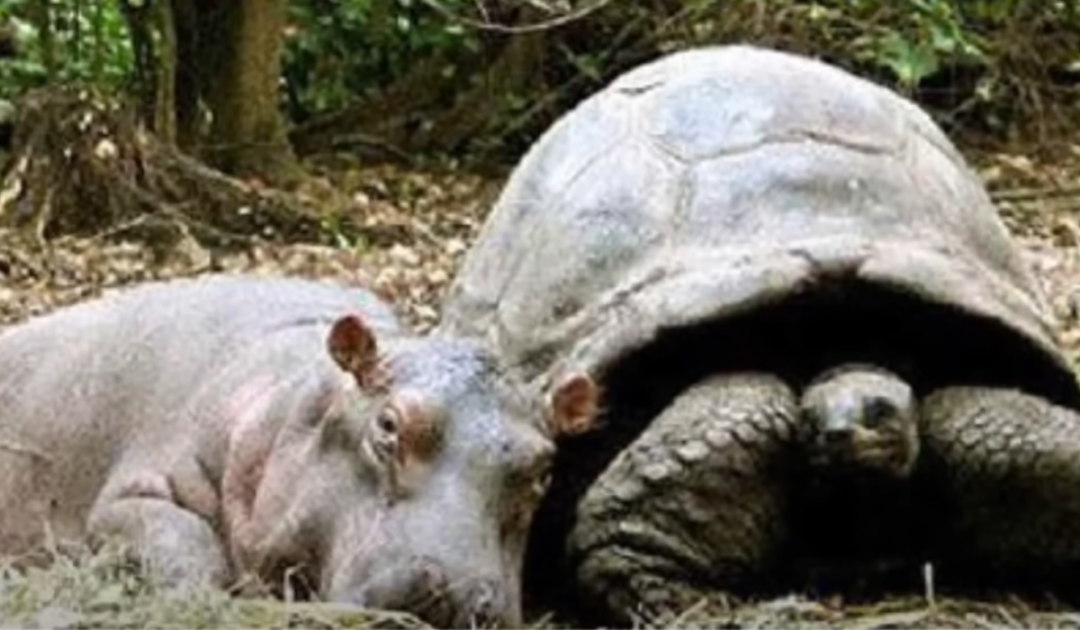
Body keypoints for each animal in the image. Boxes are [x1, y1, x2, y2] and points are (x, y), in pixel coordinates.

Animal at [0, 274, 597, 628]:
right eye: (388, 425)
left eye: (544, 469)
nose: (453, 596)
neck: (289, 400)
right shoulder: (143, 478)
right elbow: (172, 532)